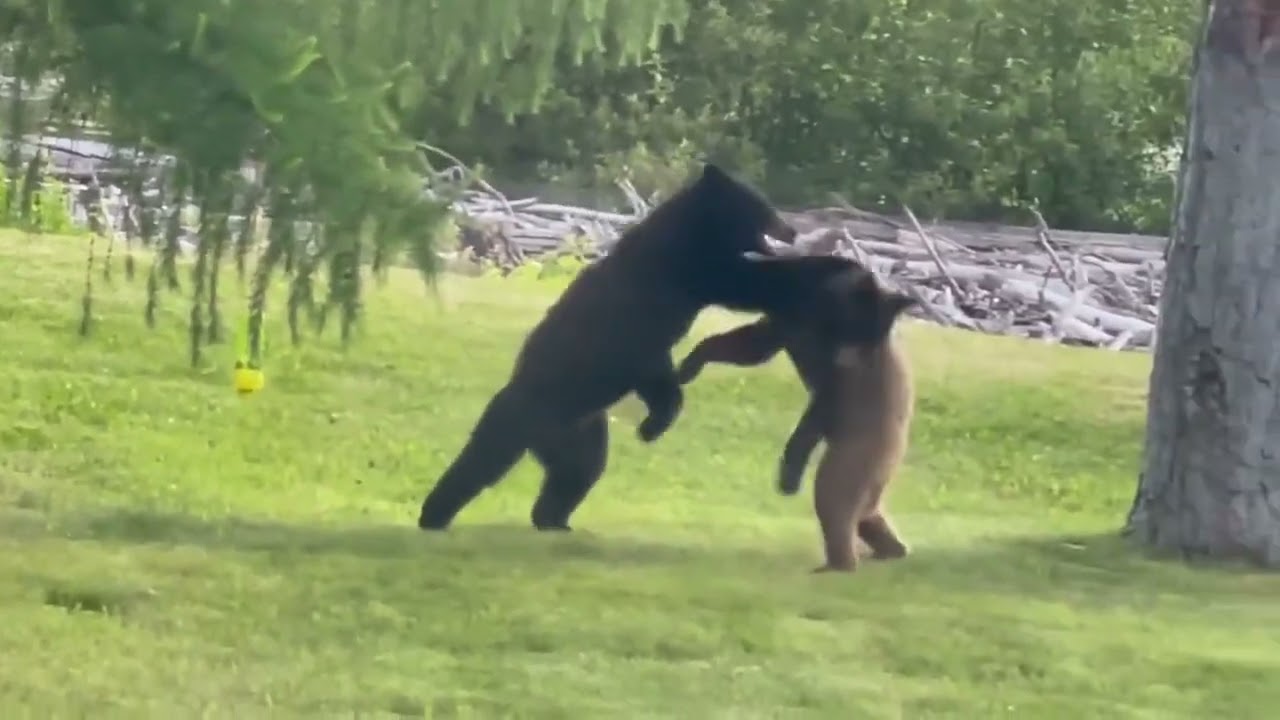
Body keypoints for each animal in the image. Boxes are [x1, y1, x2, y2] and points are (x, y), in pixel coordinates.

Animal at [416, 163, 863, 532]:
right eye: (762, 204)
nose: (792, 229)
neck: (695, 227)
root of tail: (548, 435)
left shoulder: (648, 346)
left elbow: (662, 382)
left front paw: (651, 426)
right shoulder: (686, 268)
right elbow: (745, 281)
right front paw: (832, 265)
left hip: (584, 431)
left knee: (578, 472)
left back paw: (554, 520)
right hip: (522, 413)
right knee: (483, 459)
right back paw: (434, 515)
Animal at [675, 266, 917, 572]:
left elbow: (824, 397)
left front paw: (789, 472)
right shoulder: (794, 322)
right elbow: (755, 343)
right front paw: (689, 365)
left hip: (861, 450)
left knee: (834, 495)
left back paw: (839, 563)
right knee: (866, 510)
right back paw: (890, 549)